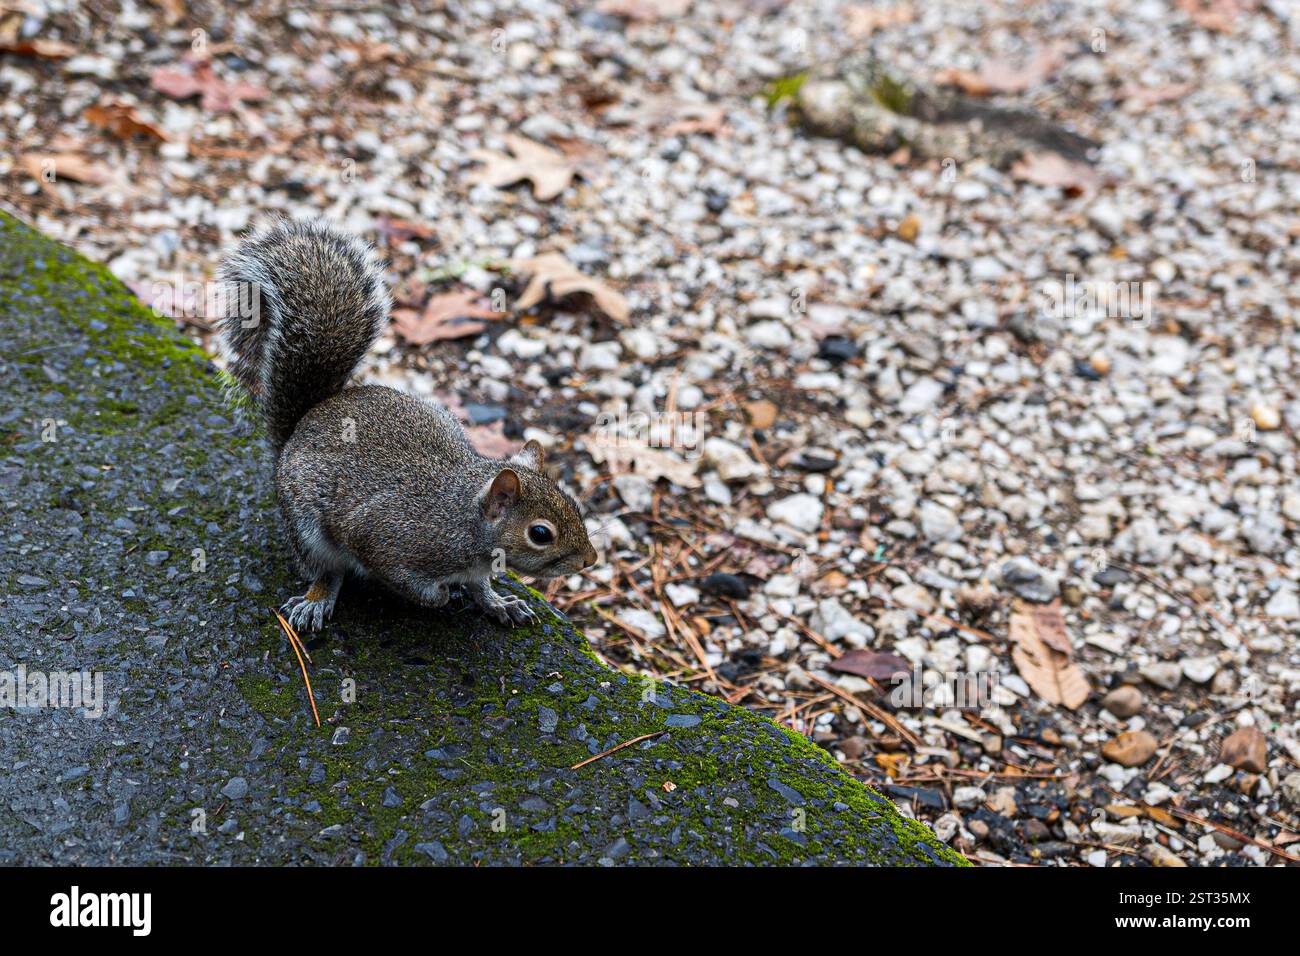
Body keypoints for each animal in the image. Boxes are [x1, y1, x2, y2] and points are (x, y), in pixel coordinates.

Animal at [217, 217, 597, 632]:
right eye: (540, 533)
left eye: (574, 504)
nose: (589, 559)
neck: (463, 518)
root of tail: (304, 422)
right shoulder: (385, 539)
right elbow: (410, 583)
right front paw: (443, 596)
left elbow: (480, 587)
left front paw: (498, 603)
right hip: (306, 527)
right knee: (327, 570)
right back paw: (316, 600)